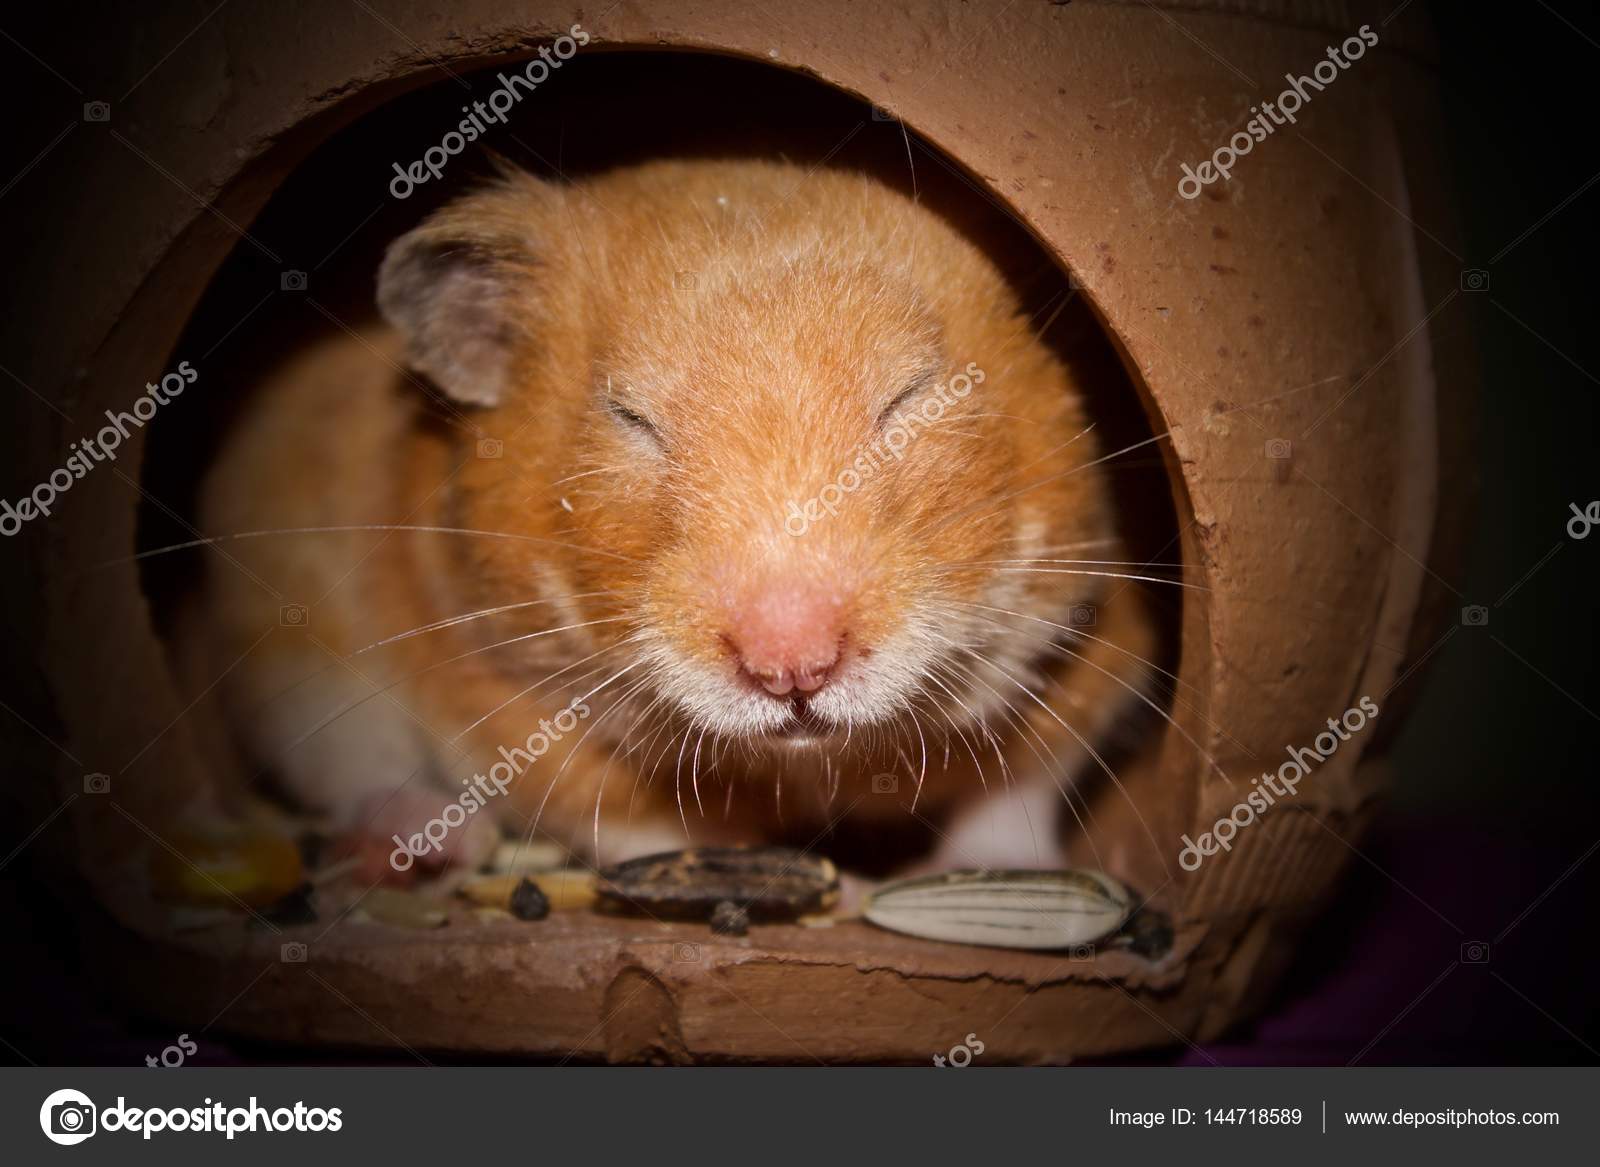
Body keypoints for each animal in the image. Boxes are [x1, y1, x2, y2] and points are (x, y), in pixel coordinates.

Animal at [184, 158, 1158, 877]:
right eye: (631, 419)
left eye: (911, 397)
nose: (792, 668)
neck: (807, 763)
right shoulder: (503, 706)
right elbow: (630, 820)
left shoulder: (1096, 634)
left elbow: (1019, 790)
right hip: (285, 631)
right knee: (351, 762)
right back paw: (428, 842)